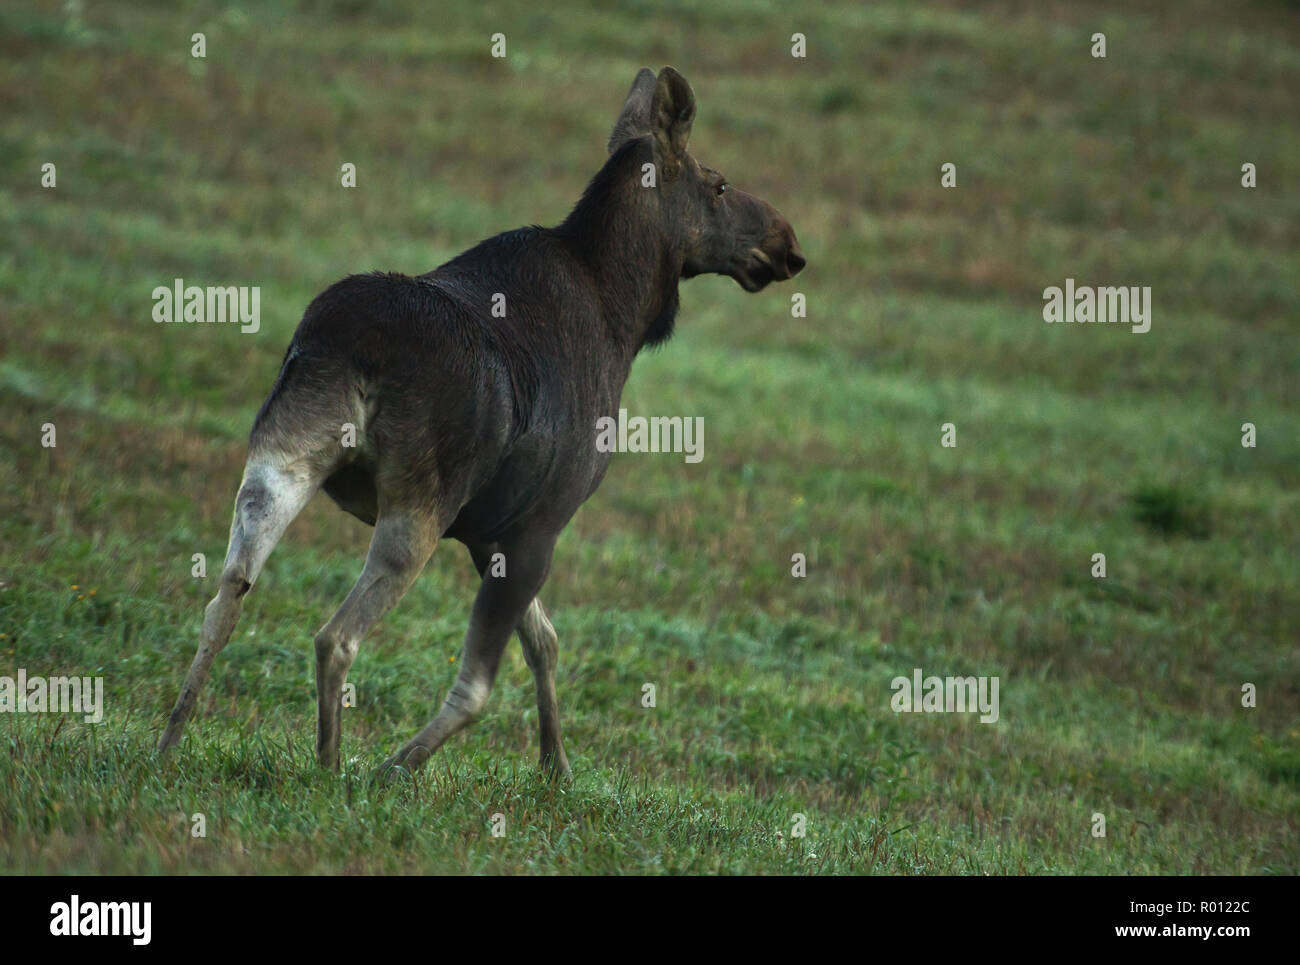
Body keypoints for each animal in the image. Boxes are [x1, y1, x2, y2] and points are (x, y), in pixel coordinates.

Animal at [157, 66, 805, 781]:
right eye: (718, 184)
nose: (787, 243)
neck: (628, 317)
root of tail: (348, 350)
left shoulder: (489, 529)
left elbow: (544, 643)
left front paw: (557, 770)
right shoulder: (539, 523)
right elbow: (481, 684)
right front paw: (398, 768)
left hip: (279, 459)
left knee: (225, 598)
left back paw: (168, 744)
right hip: (417, 505)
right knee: (336, 636)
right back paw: (330, 768)